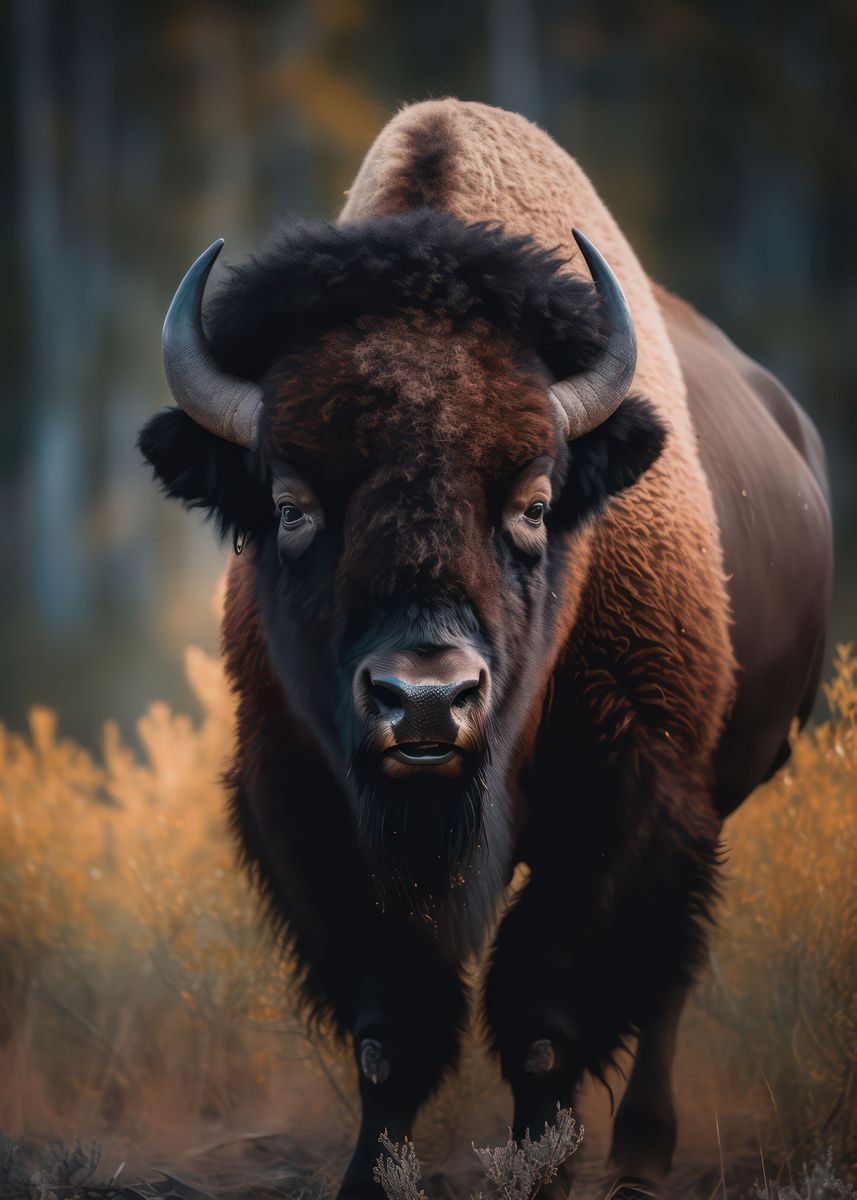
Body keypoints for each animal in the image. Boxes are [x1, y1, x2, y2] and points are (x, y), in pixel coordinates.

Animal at [139, 100, 832, 1198]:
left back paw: (642, 1151)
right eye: (288, 505)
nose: (425, 700)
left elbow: (547, 1016)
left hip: (717, 792)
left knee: (666, 978)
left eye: (536, 505)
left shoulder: (629, 795)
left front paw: (543, 1168)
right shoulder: (308, 802)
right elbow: (391, 1029)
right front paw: (367, 1176)